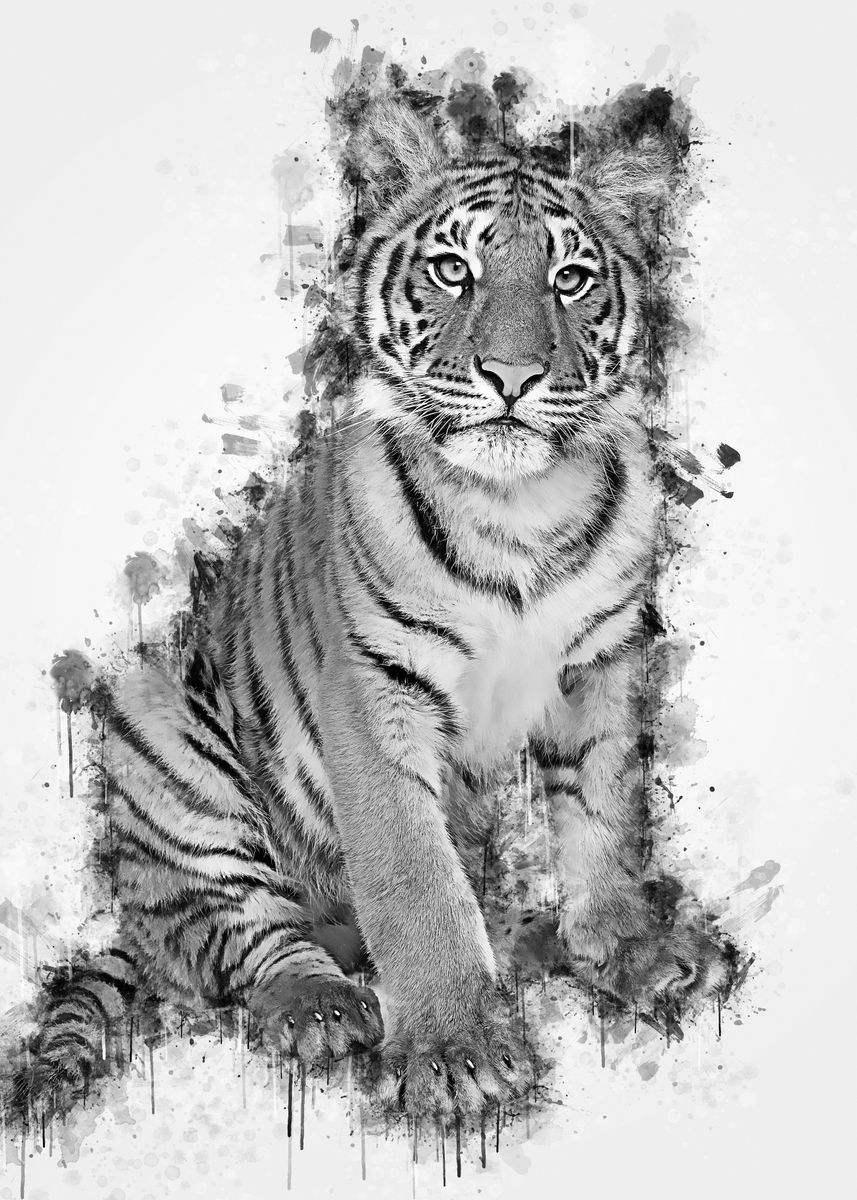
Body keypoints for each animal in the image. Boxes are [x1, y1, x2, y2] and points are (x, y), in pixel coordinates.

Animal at [11, 93, 735, 1122]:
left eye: (569, 279)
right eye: (452, 269)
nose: (511, 376)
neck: (517, 510)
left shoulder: (600, 661)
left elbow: (604, 811)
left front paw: (632, 950)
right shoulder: (370, 690)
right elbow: (413, 878)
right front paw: (458, 1050)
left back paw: (529, 940)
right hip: (157, 729)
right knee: (233, 934)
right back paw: (321, 1006)